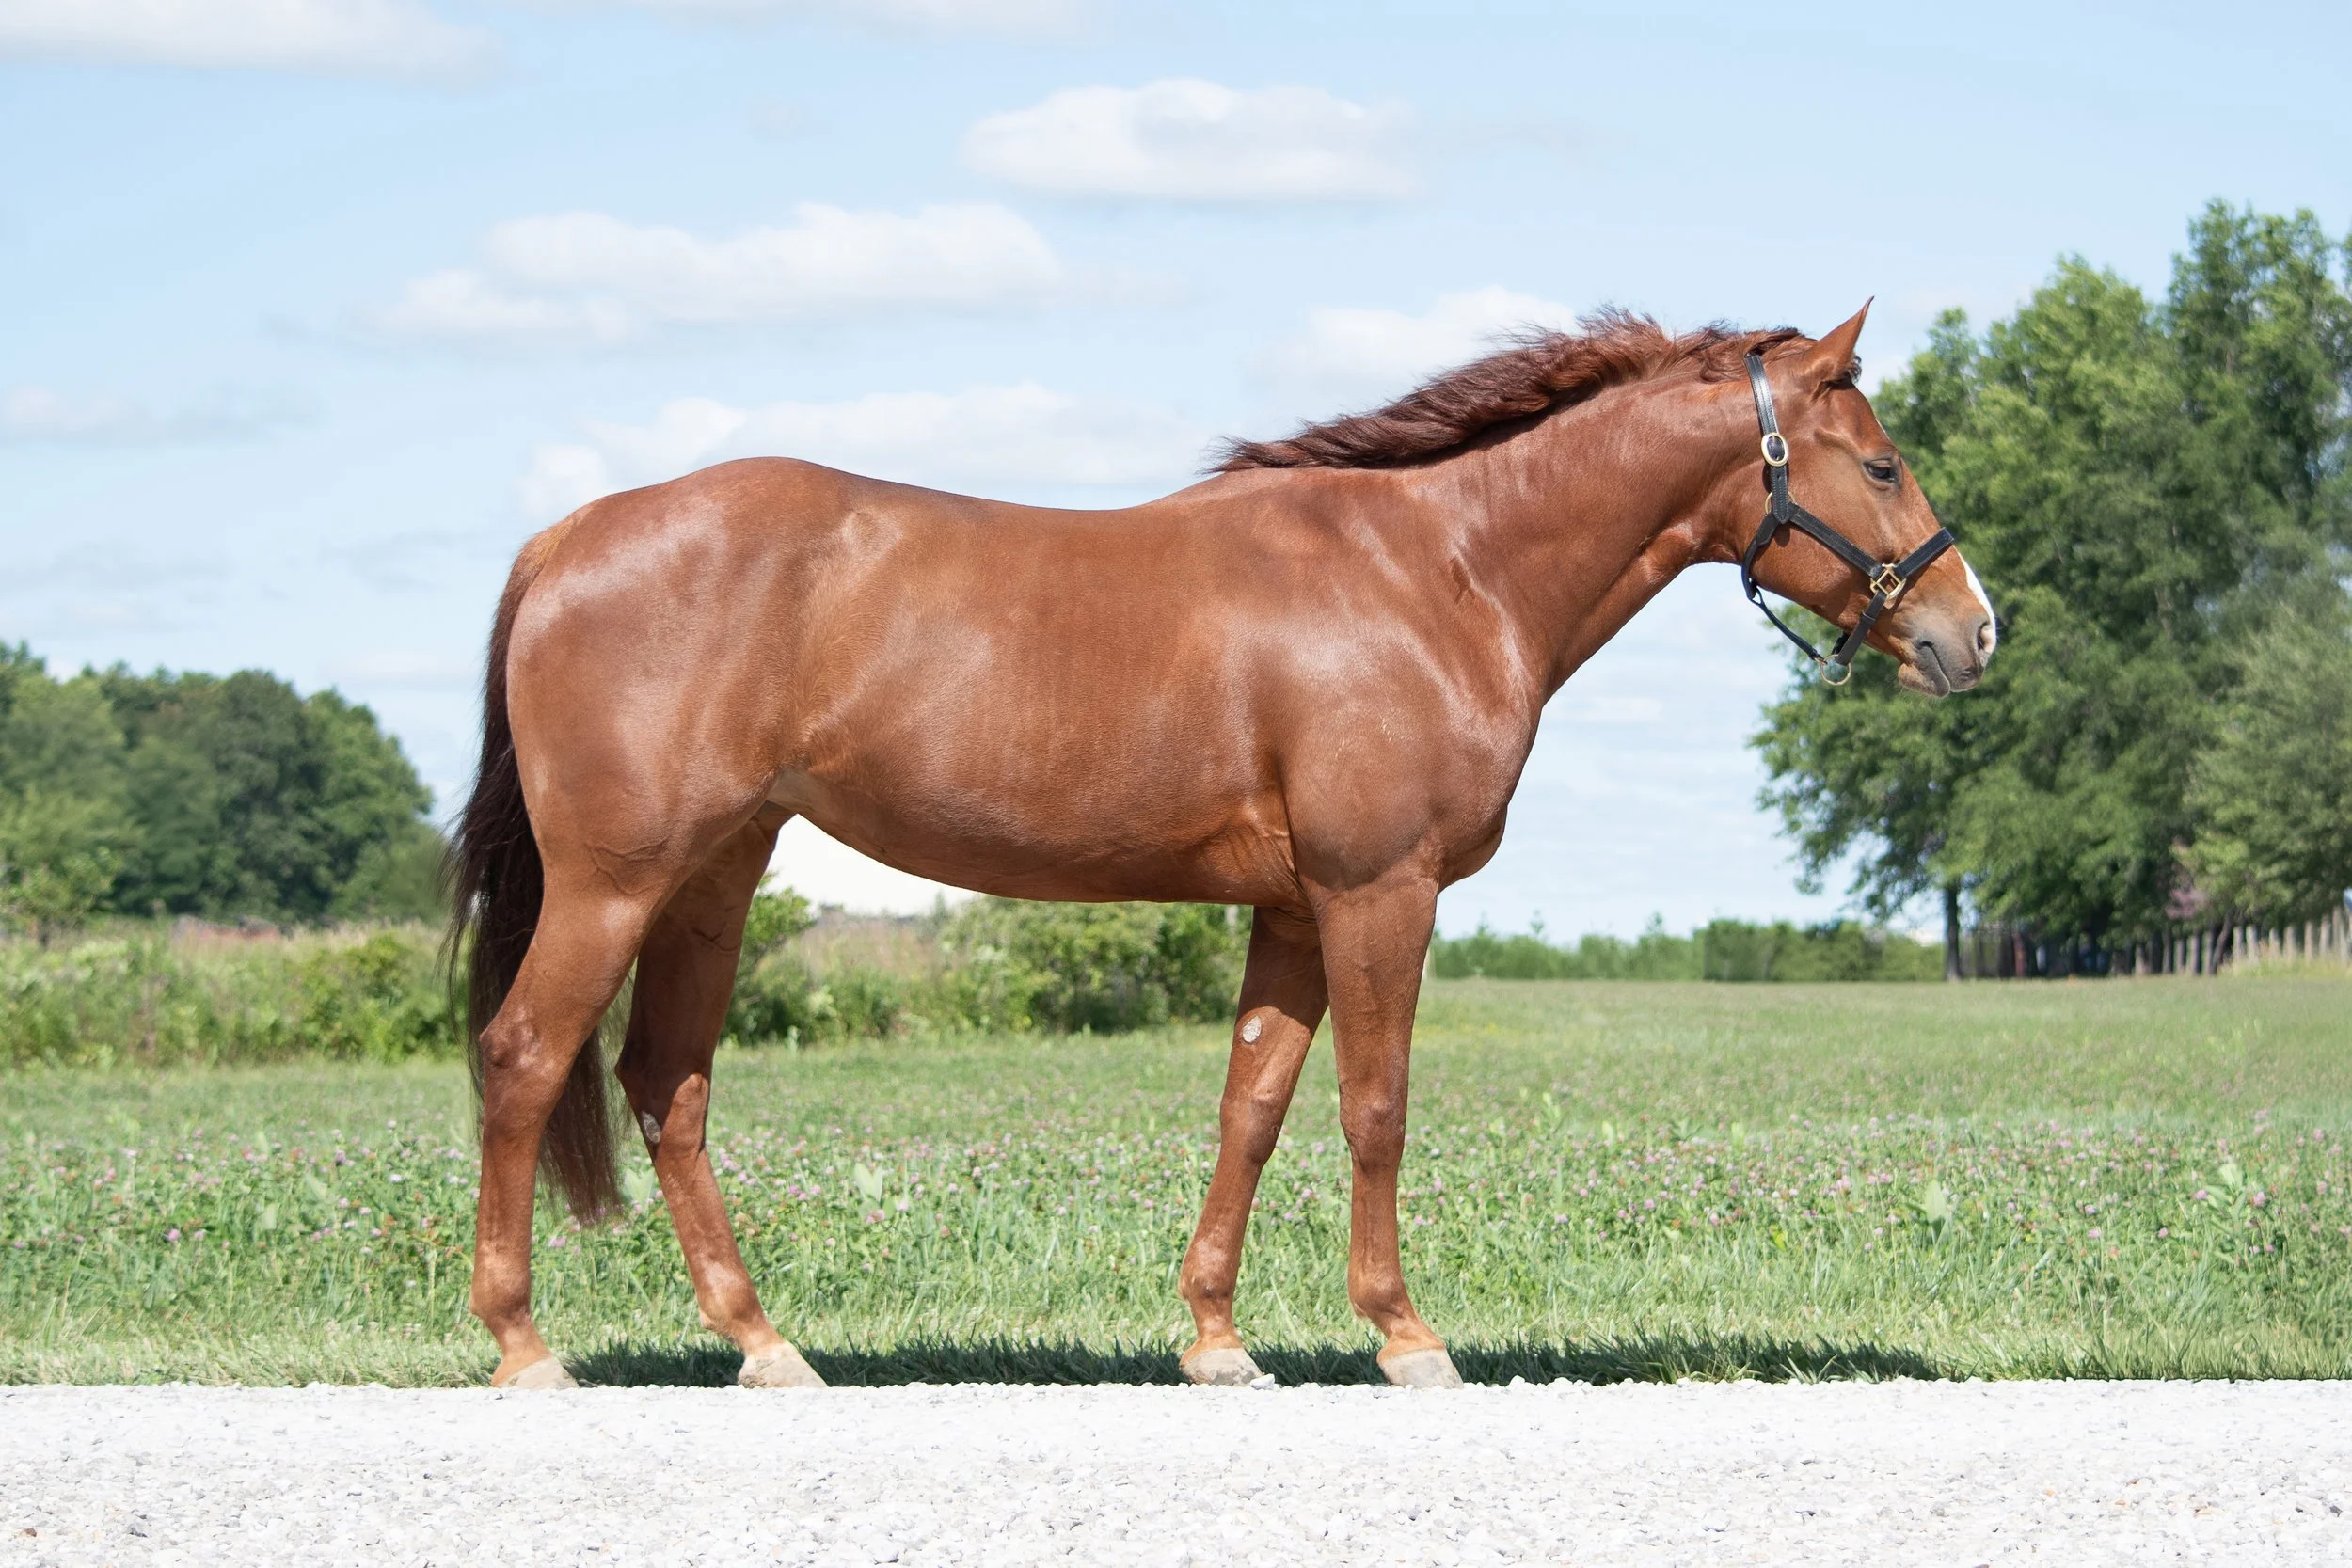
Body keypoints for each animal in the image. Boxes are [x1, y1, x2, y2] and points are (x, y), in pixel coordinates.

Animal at [448, 302, 1996, 1391]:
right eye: (1882, 460)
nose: (1969, 631)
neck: (1436, 572)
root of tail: (566, 534)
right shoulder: (1380, 893)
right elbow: (1376, 1107)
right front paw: (1405, 1333)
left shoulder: (1297, 910)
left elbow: (1250, 1105)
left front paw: (1214, 1335)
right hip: (614, 884)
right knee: (525, 1059)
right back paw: (525, 1345)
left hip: (713, 879)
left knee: (668, 1086)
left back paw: (764, 1342)